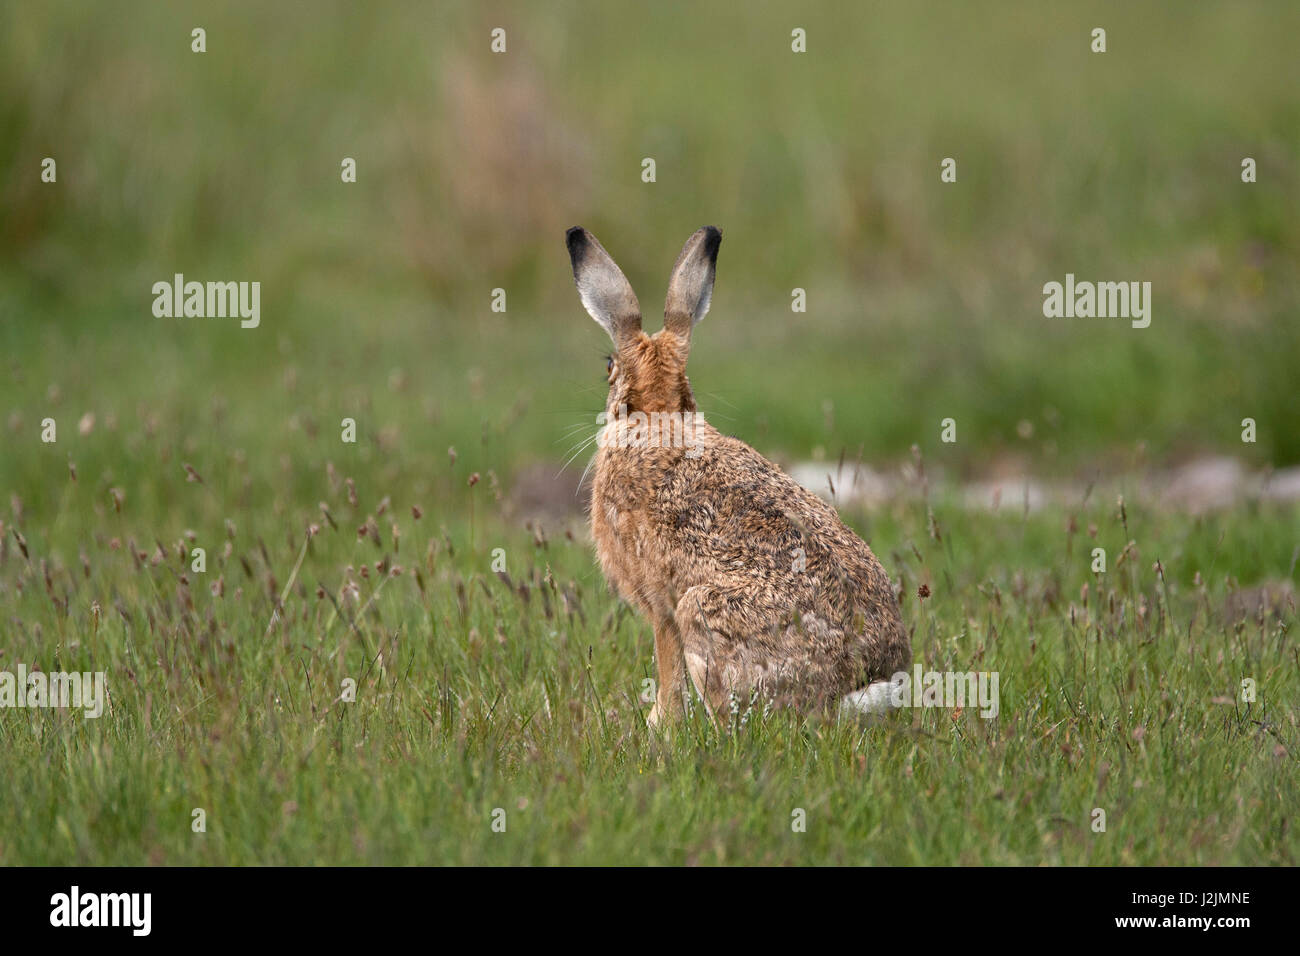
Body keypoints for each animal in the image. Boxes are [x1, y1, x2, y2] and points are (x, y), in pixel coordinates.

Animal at [566, 225, 911, 728]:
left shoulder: (660, 603)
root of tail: (858, 684)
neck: (659, 418)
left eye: (609, 366)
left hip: (701, 610)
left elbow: (667, 665)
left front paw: (658, 725)